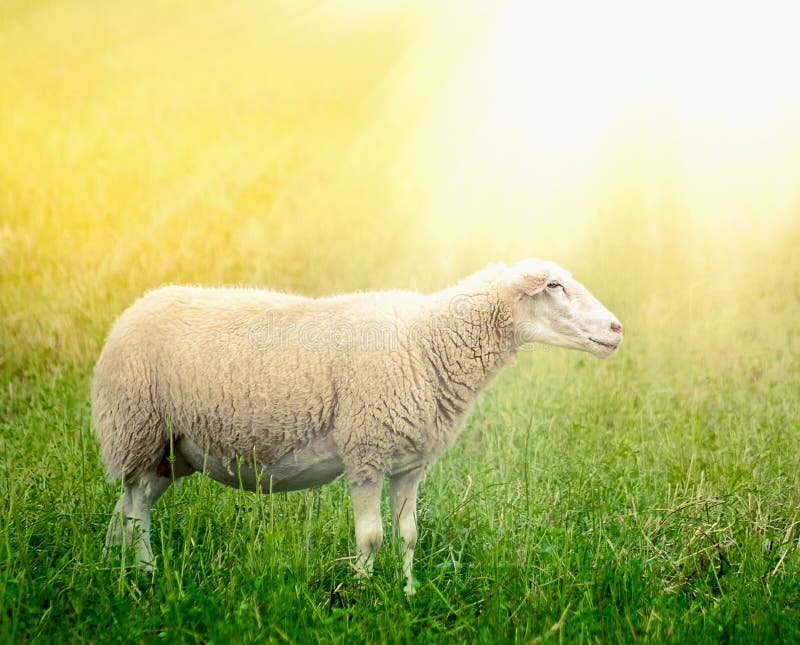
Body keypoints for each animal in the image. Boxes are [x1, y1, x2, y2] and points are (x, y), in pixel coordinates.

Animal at [94, 258, 622, 594]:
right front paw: (364, 594)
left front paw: (408, 593)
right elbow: (371, 537)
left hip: (169, 452)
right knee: (135, 510)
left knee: (129, 507)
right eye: (553, 287)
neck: (430, 341)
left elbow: (409, 535)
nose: (617, 329)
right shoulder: (366, 450)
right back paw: (145, 572)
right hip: (137, 426)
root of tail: (130, 312)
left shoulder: (409, 461)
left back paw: (113, 566)